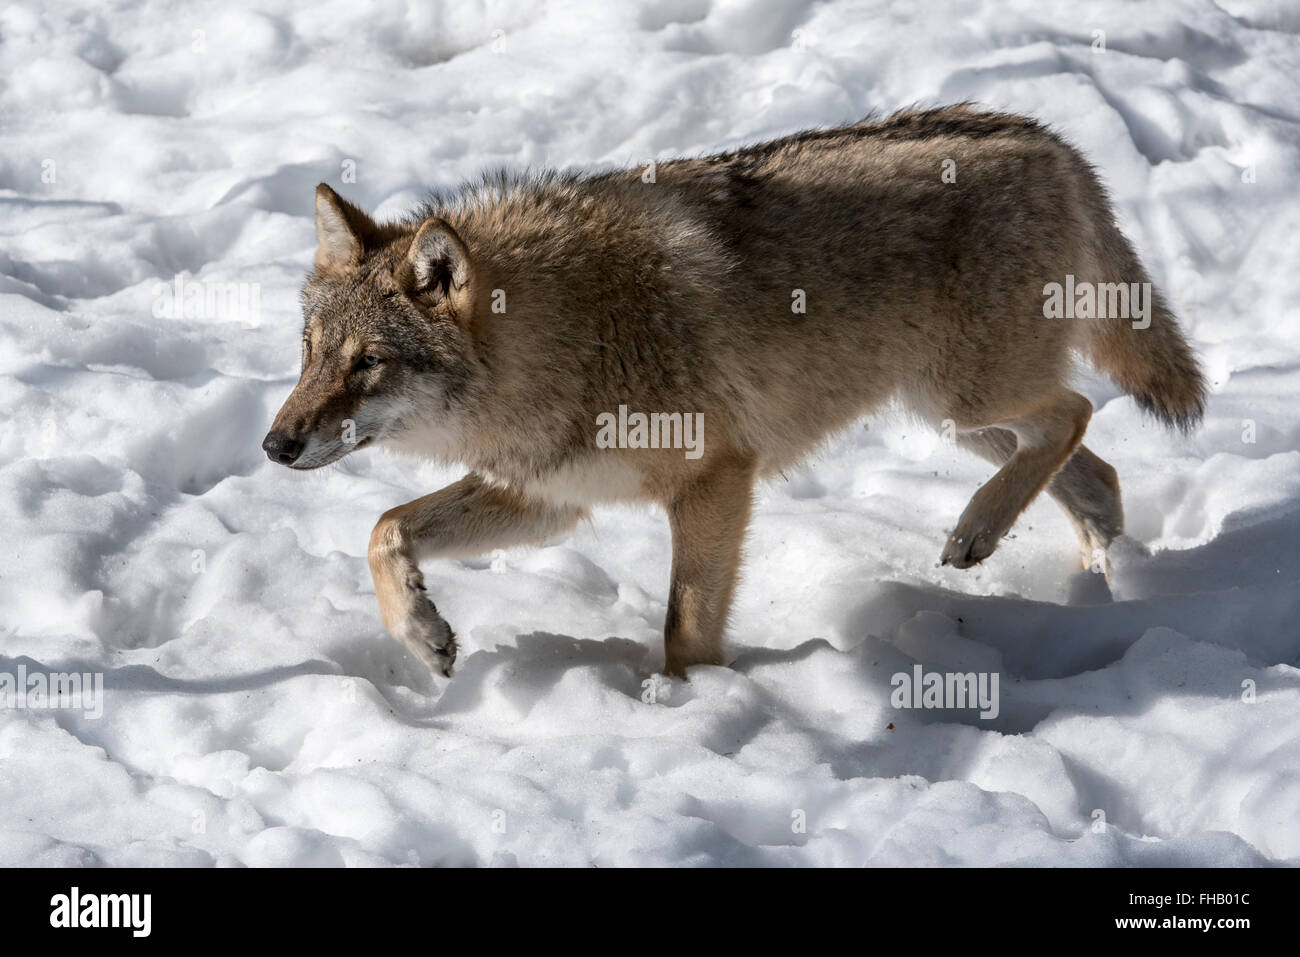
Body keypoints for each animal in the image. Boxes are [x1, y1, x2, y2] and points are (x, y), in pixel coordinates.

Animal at [263, 105, 1205, 678]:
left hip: (964, 401)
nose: (274, 445)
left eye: (366, 364)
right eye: (309, 353)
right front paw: (425, 636)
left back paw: (981, 533)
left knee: (1076, 414)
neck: (572, 329)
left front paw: (689, 709)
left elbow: (683, 628)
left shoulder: (716, 479)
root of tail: (1045, 137)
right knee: (1094, 470)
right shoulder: (550, 500)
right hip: (951, 415)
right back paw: (1093, 581)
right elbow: (385, 528)